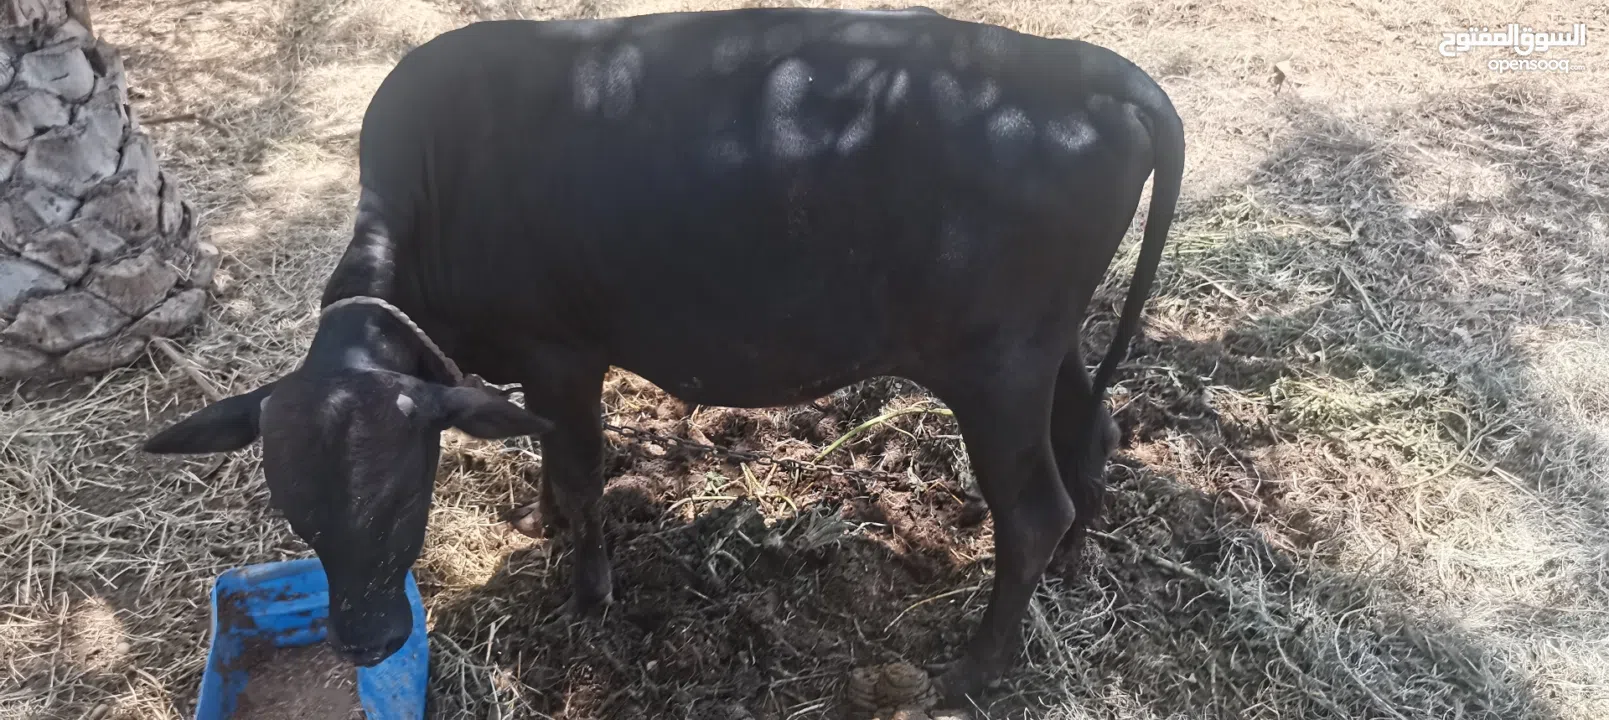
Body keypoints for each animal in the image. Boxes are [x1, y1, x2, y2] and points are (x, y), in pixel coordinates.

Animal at [141, 7, 1183, 704]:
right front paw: (543, 524)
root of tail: (1082, 66)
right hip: (1043, 350)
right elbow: (545, 457)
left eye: (404, 497)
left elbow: (579, 466)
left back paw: (974, 669)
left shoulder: (562, 353)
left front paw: (588, 589)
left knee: (1033, 507)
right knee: (1091, 437)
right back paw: (1073, 569)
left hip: (994, 369)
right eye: (296, 510)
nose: (363, 644)